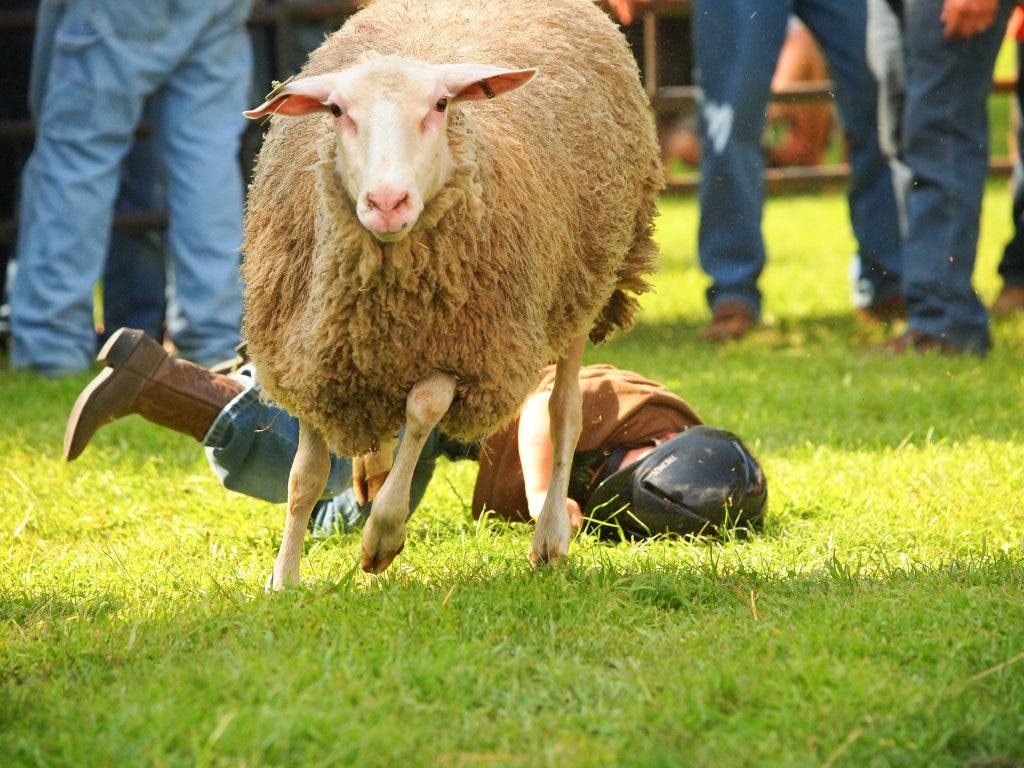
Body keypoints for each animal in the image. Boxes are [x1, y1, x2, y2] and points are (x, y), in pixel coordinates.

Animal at [241, 0, 663, 589]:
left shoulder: (467, 351)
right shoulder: (310, 353)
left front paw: (382, 539)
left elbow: (424, 408)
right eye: (337, 111)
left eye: (440, 105)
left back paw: (550, 538)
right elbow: (305, 476)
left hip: (584, 287)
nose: (387, 202)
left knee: (564, 414)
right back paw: (371, 468)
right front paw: (283, 578)